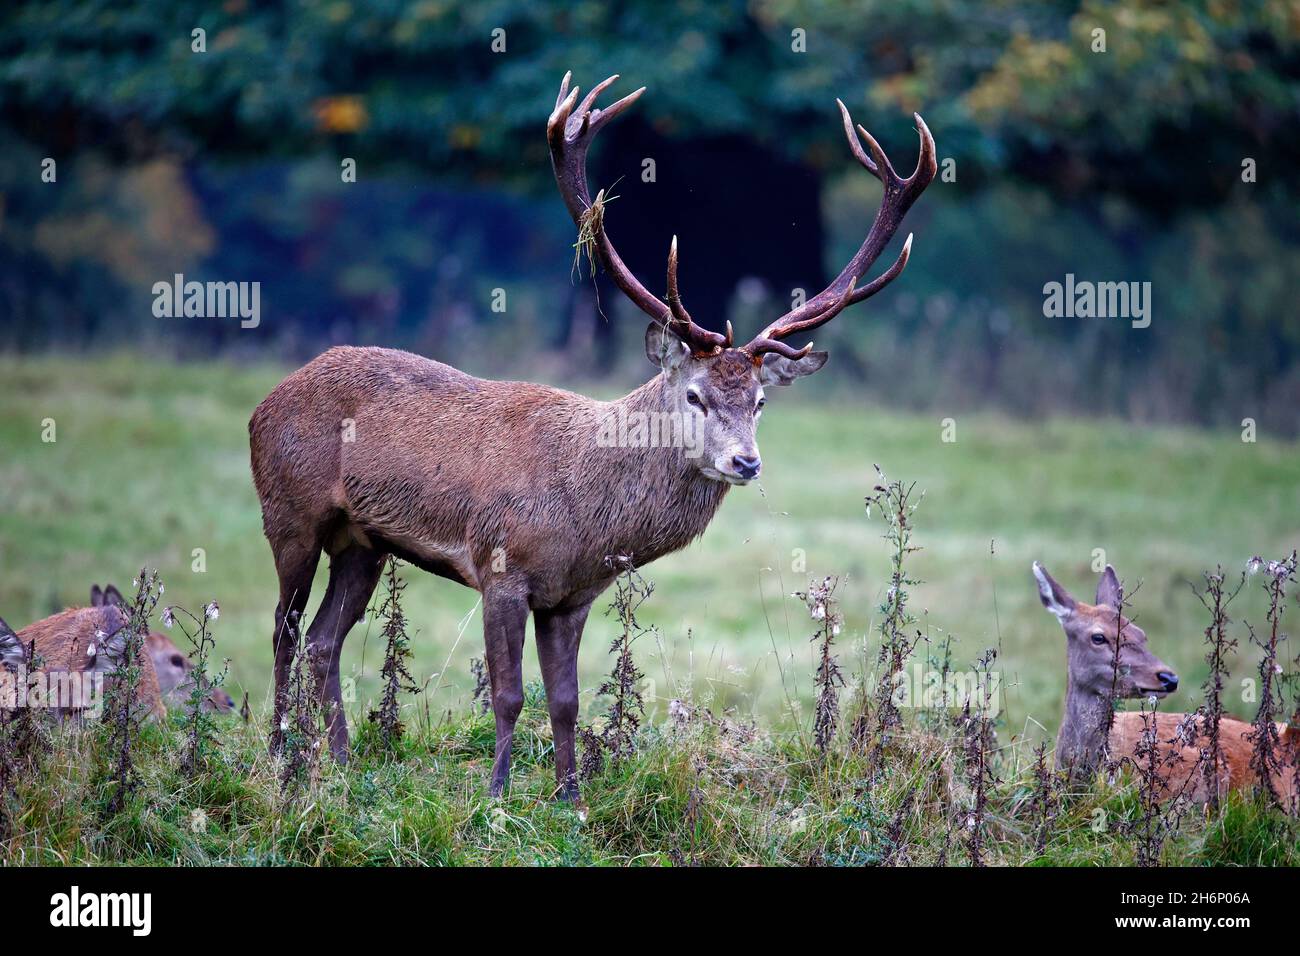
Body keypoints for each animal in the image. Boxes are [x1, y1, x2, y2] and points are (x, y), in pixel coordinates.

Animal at [250, 72, 936, 800]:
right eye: (694, 395)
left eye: (759, 401)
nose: (745, 462)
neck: (584, 515)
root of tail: (266, 402)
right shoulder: (501, 566)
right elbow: (508, 694)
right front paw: (496, 796)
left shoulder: (572, 597)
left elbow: (566, 700)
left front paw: (570, 798)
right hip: (289, 511)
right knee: (283, 629)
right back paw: (279, 754)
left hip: (364, 542)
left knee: (323, 639)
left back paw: (341, 763)